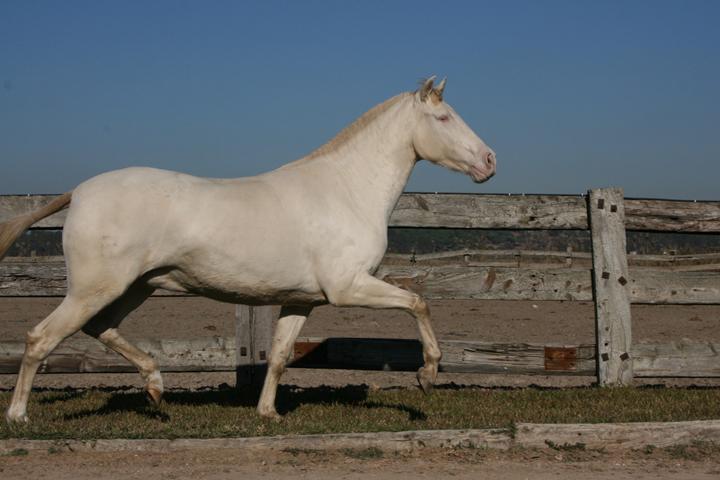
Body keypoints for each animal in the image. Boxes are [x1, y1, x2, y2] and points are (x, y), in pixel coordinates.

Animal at [1, 77, 496, 424]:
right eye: (445, 118)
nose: (489, 161)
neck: (346, 191)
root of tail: (80, 192)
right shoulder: (349, 287)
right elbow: (418, 302)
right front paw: (427, 375)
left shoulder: (303, 300)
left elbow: (278, 355)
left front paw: (267, 413)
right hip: (95, 289)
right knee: (41, 338)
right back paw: (19, 415)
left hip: (135, 287)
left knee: (99, 329)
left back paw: (156, 386)